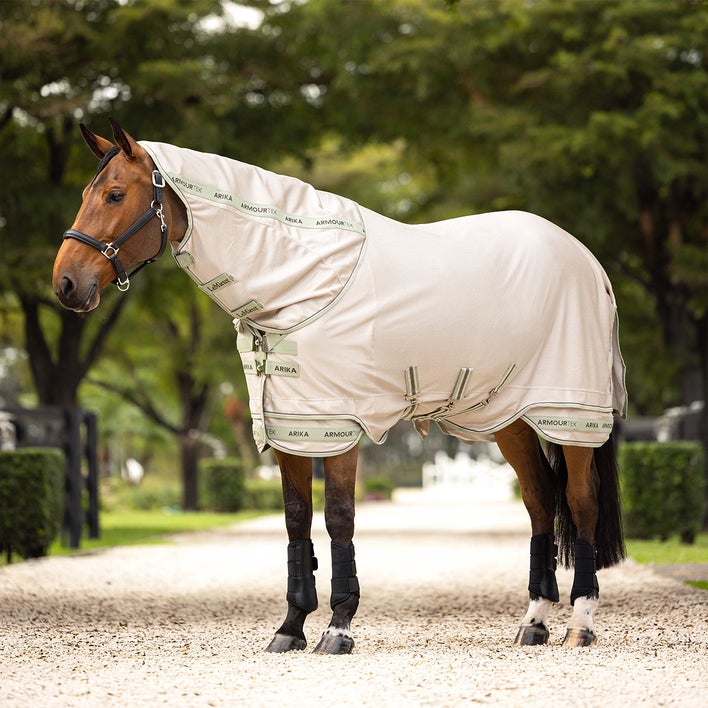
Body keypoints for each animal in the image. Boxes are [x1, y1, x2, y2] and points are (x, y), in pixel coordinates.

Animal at [52, 120, 627, 653]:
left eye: (115, 194)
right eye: (82, 194)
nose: (66, 284)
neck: (303, 277)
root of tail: (587, 261)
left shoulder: (340, 424)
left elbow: (338, 518)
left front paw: (338, 627)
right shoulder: (292, 426)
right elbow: (296, 521)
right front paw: (290, 628)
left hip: (572, 415)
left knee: (580, 501)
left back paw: (580, 624)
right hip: (511, 418)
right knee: (539, 501)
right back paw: (533, 623)